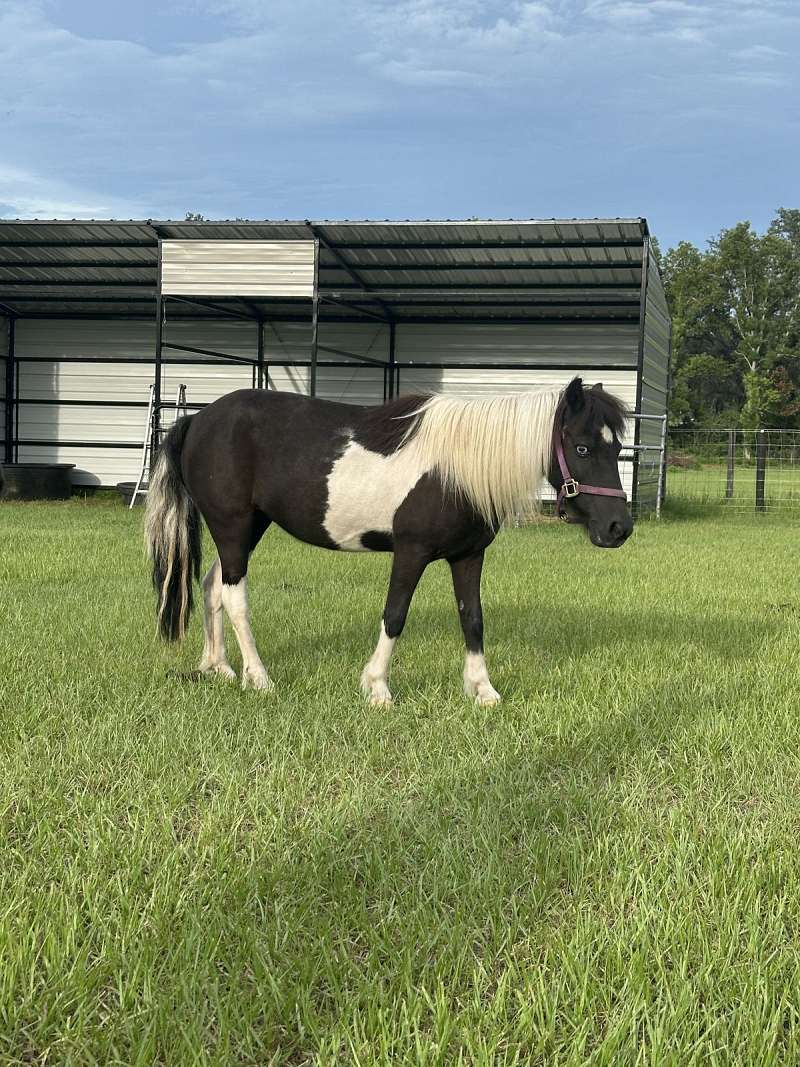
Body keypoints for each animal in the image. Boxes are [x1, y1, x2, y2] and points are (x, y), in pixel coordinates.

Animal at [144, 376, 632, 705]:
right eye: (583, 447)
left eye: (617, 447)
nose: (619, 528)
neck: (456, 470)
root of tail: (198, 419)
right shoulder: (411, 553)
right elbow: (394, 616)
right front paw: (377, 687)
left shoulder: (468, 556)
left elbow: (472, 619)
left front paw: (482, 690)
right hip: (233, 526)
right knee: (235, 597)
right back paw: (258, 677)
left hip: (249, 529)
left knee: (212, 586)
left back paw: (219, 668)